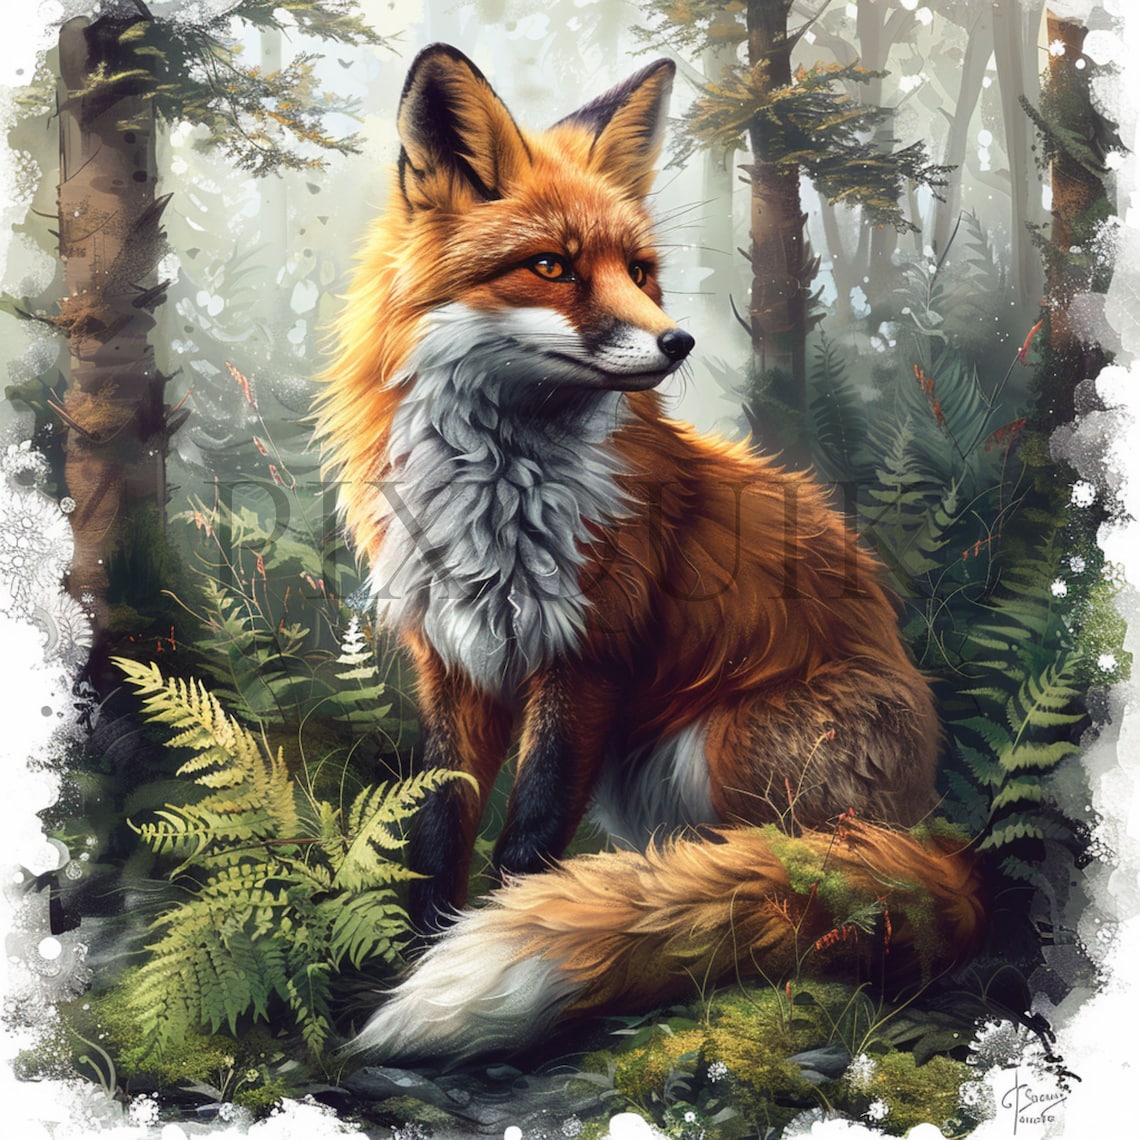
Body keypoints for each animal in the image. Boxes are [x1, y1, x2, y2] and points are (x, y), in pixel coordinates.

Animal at [314, 44, 986, 1063]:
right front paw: (425, 941)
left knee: (811, 890)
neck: (500, 494)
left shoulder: (588, 654)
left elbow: (527, 841)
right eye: (551, 266)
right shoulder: (454, 658)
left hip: (730, 744)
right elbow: (439, 826)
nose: (679, 342)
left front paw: (516, 920)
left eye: (639, 269)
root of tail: (931, 831)